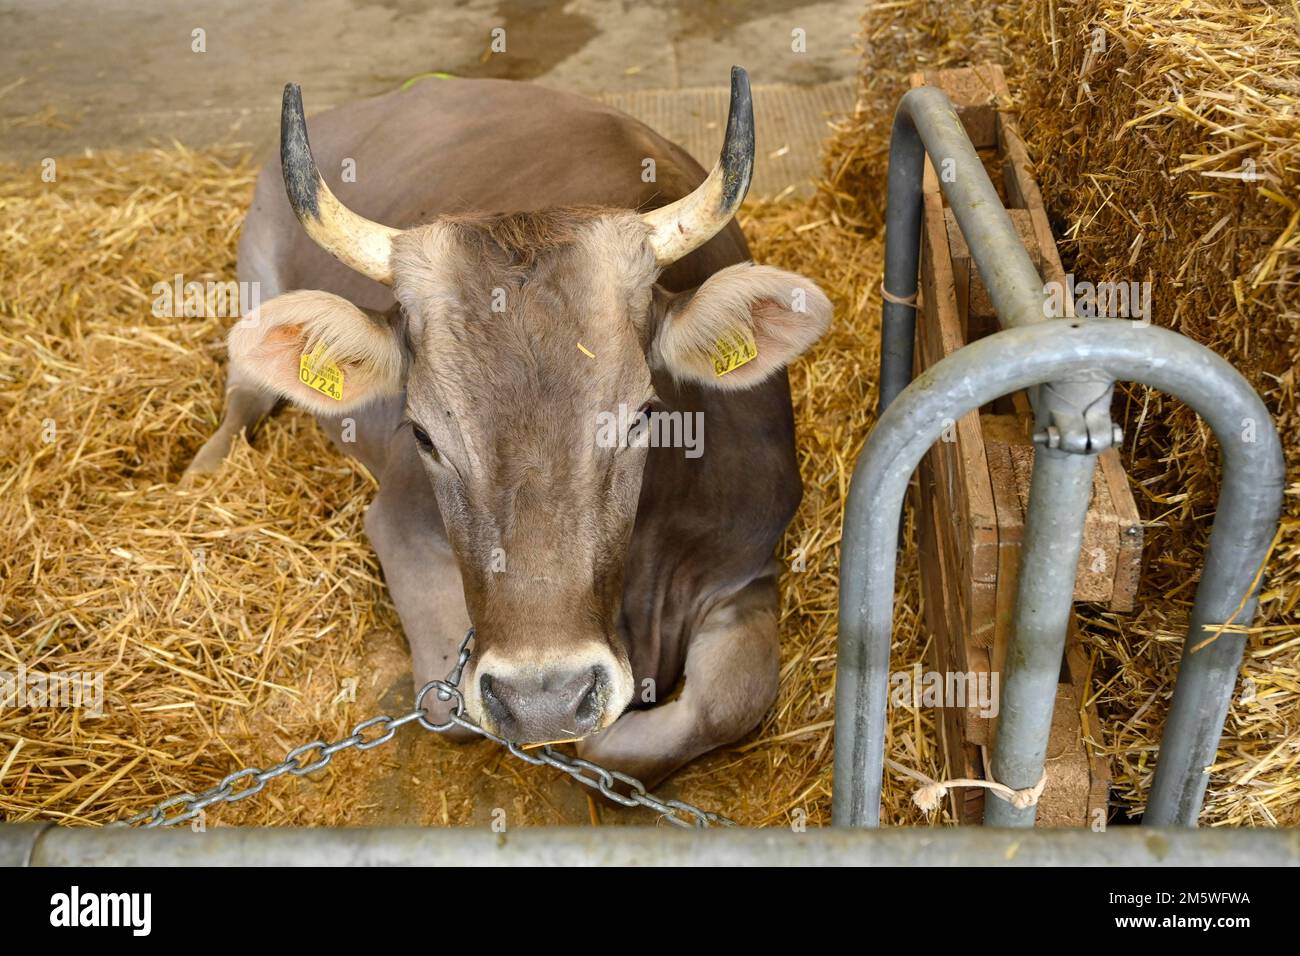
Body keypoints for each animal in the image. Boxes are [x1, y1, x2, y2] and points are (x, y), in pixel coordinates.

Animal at [188, 67, 831, 787]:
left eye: (641, 416)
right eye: (424, 436)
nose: (543, 700)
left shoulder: (748, 566)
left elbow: (725, 702)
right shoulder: (402, 527)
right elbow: (451, 711)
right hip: (255, 264)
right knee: (245, 391)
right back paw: (204, 472)